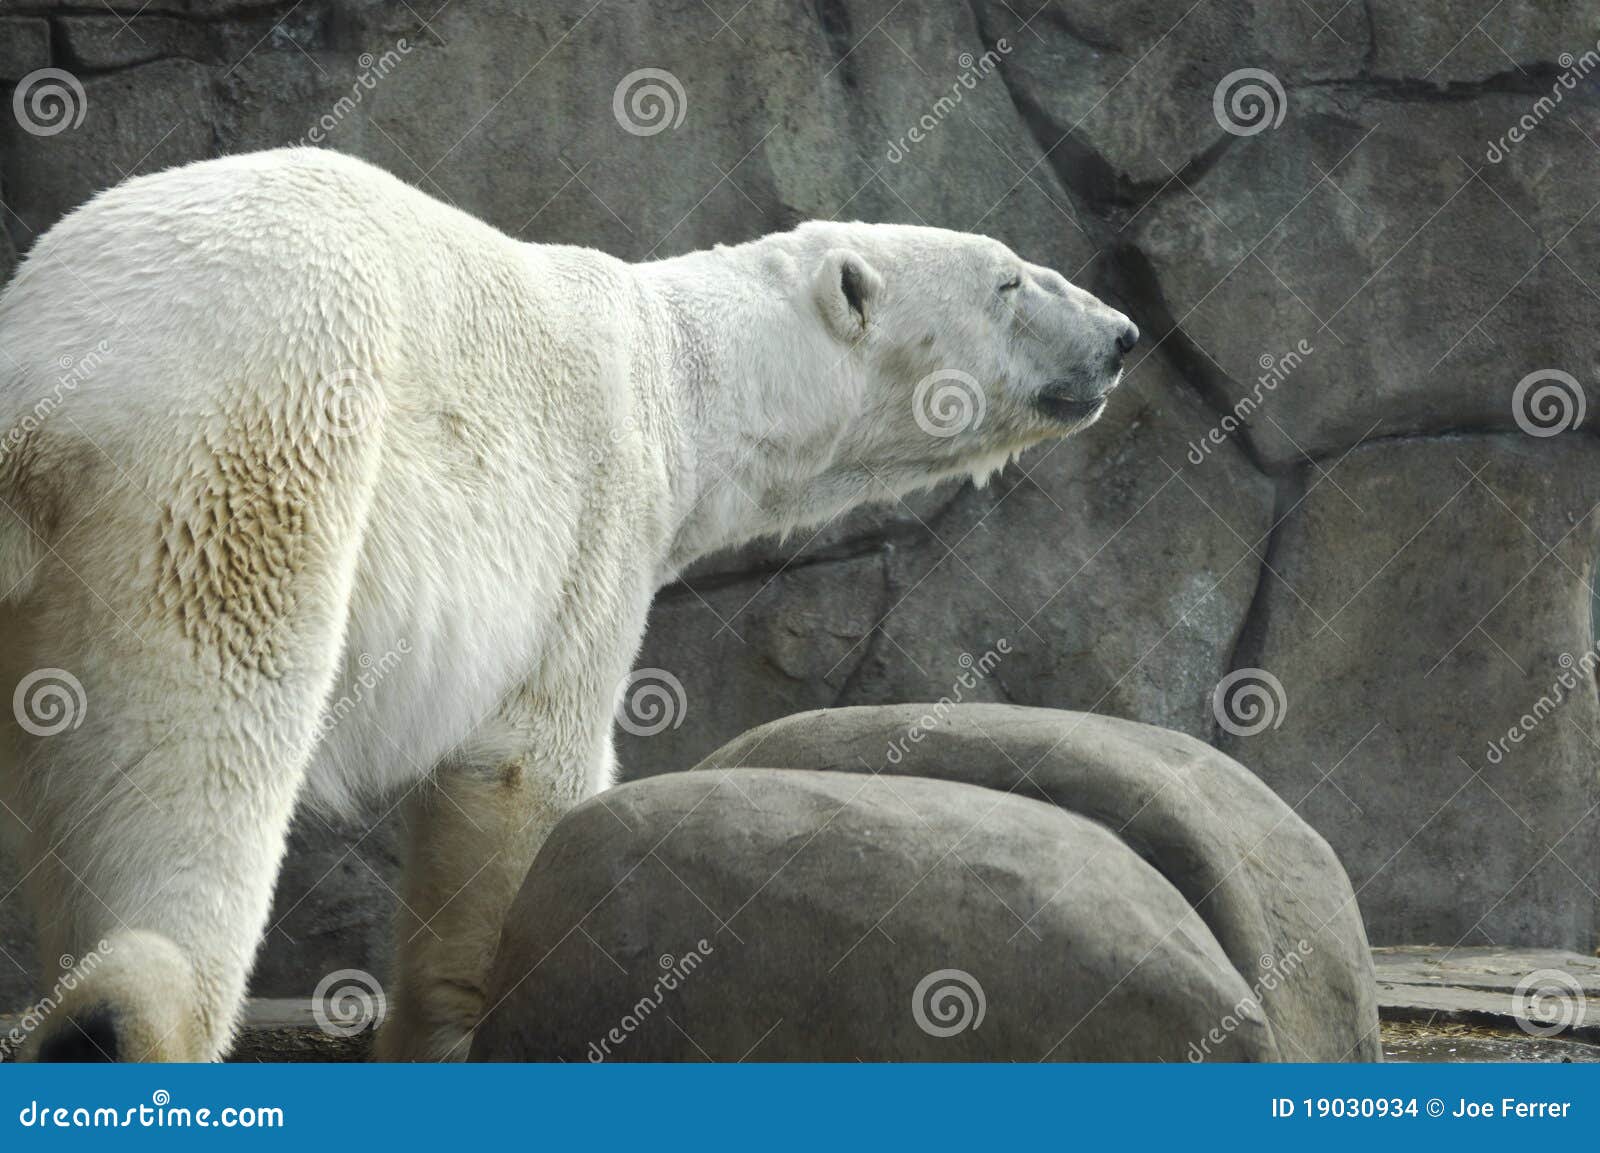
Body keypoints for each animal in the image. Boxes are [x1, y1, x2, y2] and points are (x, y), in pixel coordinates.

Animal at [0, 147, 1137, 1061]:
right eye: (1007, 277)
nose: (1123, 334)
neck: (687, 377)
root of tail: (43, 389)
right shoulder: (596, 515)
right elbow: (528, 767)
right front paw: (470, 1023)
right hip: (243, 453)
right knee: (204, 755)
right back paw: (129, 1017)